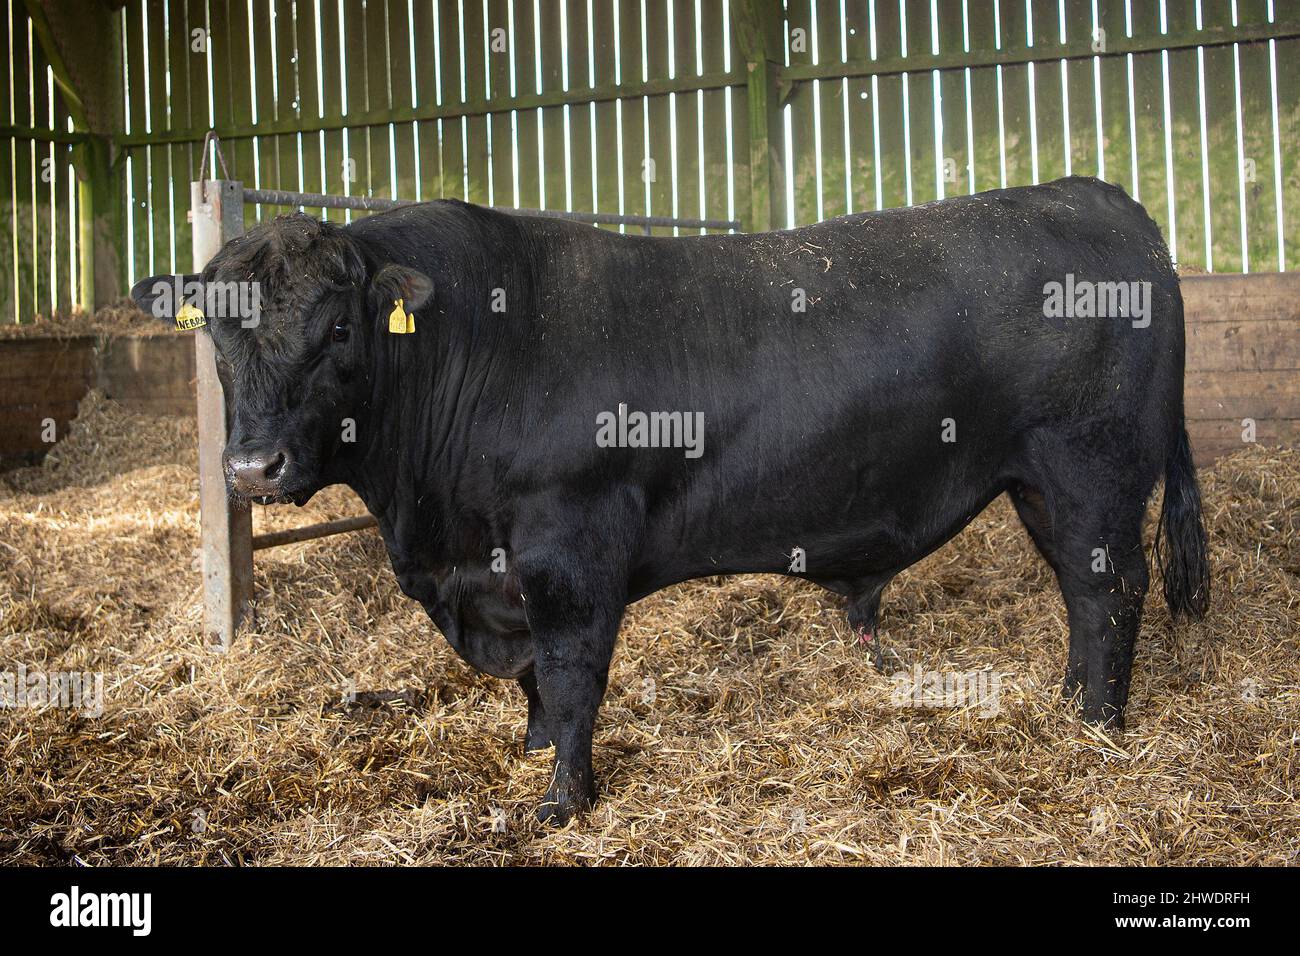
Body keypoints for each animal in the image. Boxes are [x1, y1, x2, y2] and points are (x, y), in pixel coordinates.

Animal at [133, 176, 1210, 824]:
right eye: (217, 338)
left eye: (337, 330)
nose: (252, 469)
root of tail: (1098, 197)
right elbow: (534, 683)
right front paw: (531, 755)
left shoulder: (569, 545)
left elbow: (571, 673)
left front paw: (561, 801)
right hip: (1039, 486)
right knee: (1081, 595)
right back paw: (1066, 704)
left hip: (1091, 469)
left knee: (1108, 591)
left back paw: (1094, 726)